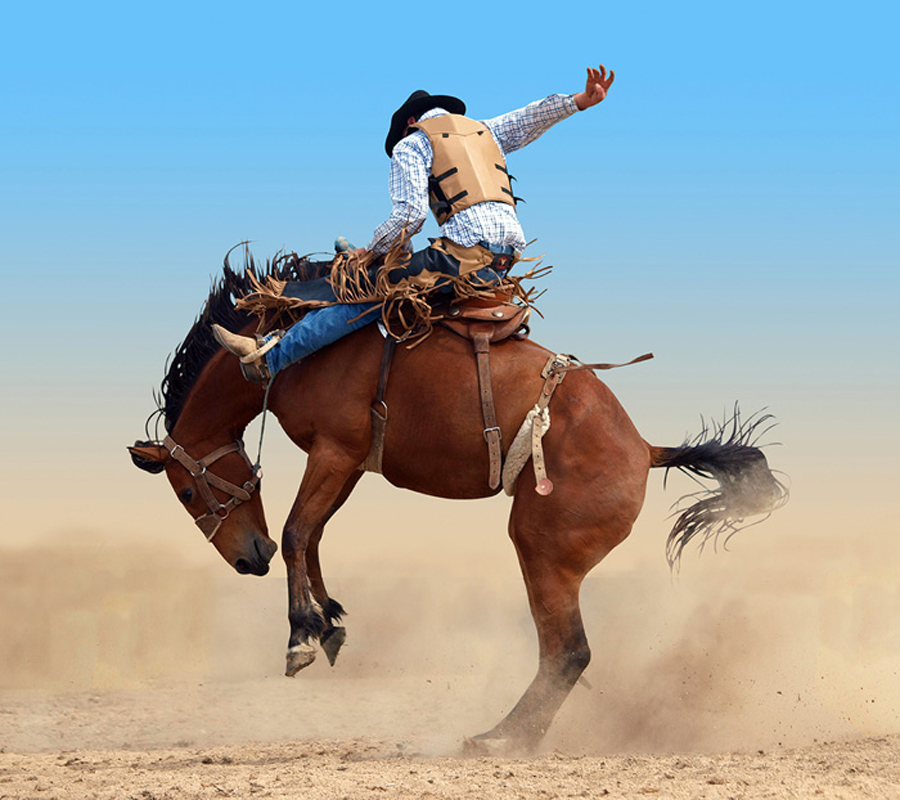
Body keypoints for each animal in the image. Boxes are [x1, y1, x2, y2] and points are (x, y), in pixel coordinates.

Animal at [128, 254, 786, 751]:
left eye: (186, 491)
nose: (248, 559)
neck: (290, 351)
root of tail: (644, 448)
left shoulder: (334, 450)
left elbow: (295, 531)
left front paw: (300, 638)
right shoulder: (349, 460)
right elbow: (311, 534)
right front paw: (330, 623)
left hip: (542, 550)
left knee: (567, 653)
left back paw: (502, 739)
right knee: (565, 655)